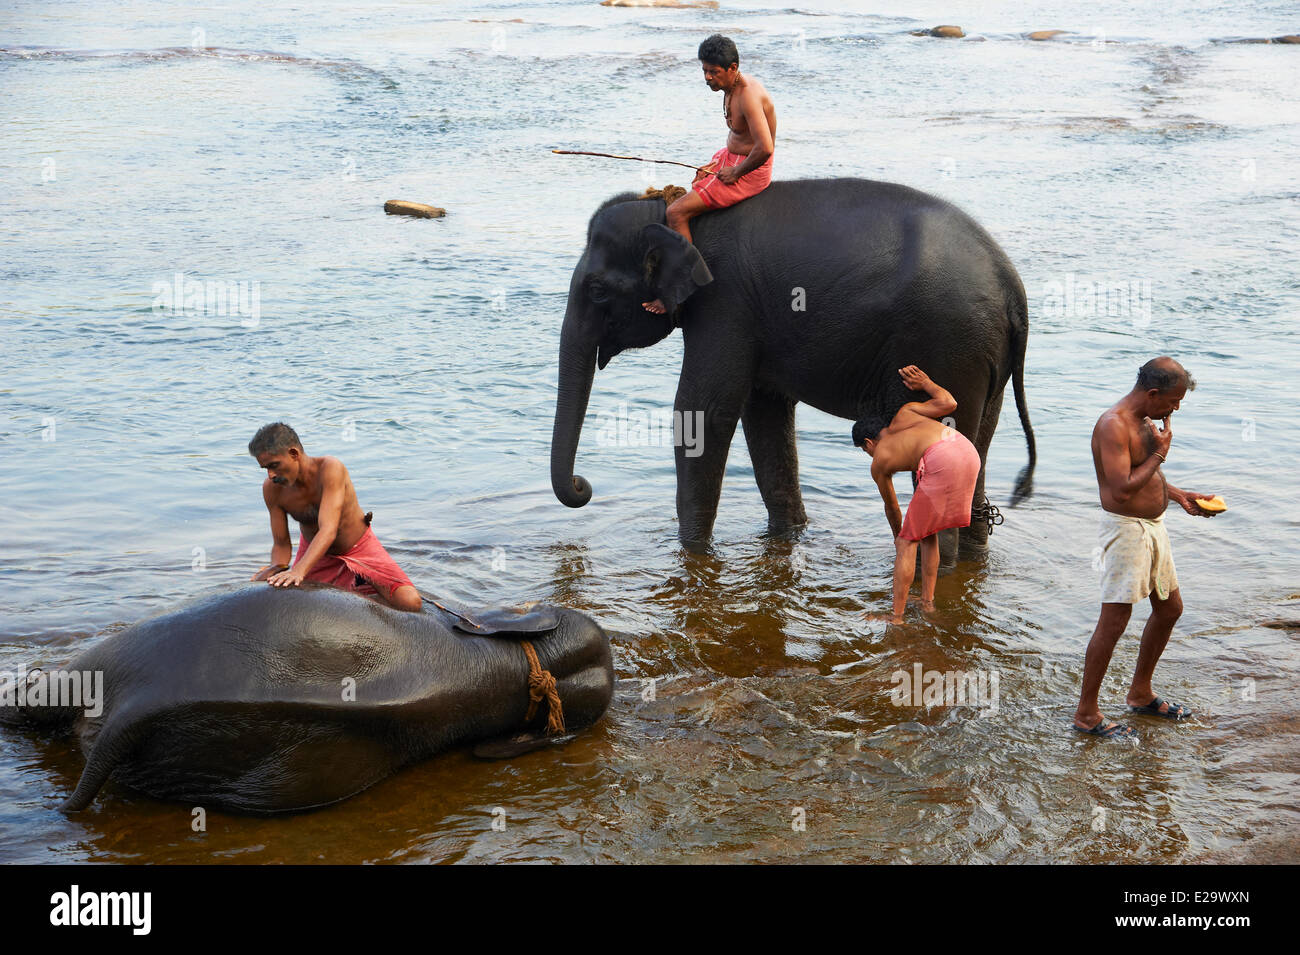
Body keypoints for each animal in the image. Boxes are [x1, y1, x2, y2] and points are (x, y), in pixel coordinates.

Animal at [550, 177, 1037, 555]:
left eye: (596, 290)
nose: (582, 484)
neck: (670, 212)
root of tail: (1013, 289)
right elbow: (764, 413)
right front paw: (788, 536)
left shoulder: (723, 304)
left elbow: (702, 411)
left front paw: (692, 552)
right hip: (980, 362)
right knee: (979, 448)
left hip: (947, 347)